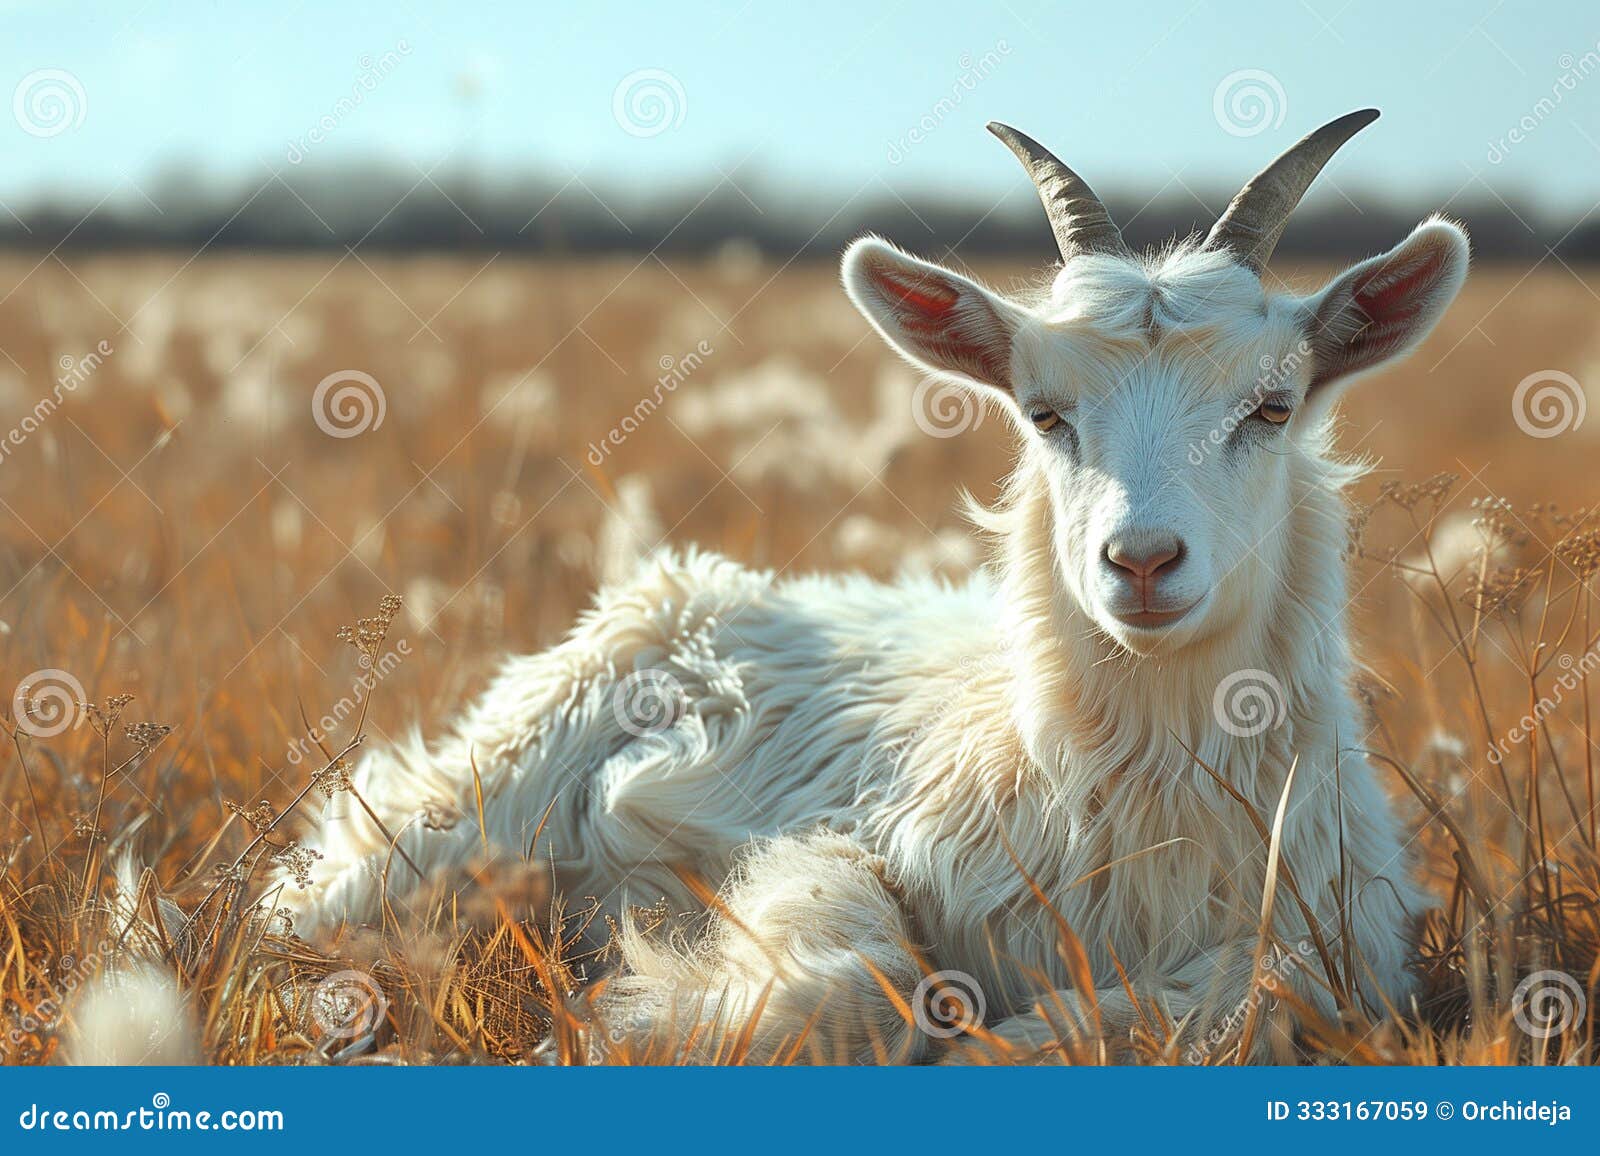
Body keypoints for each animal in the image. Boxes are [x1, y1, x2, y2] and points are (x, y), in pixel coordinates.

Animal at [282, 109, 1468, 1062]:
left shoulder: (1341, 941)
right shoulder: (843, 843)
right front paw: (628, 1021)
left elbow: (1243, 998)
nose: (1139, 562)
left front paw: (1022, 1041)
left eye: (1273, 406)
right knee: (312, 900)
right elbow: (873, 976)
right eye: (1043, 411)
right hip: (473, 795)